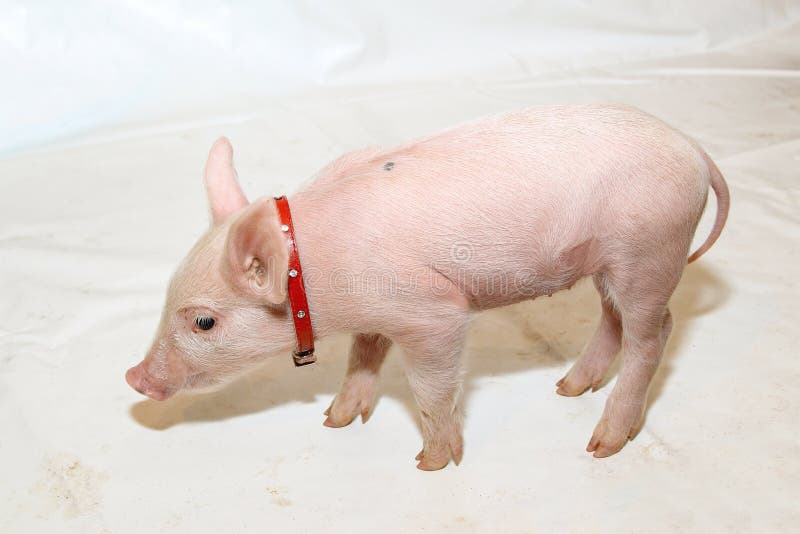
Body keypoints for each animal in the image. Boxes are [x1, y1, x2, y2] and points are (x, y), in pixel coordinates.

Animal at [126, 104, 729, 470]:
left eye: (204, 321)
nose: (134, 378)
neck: (313, 275)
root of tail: (695, 150)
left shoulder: (431, 312)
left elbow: (429, 387)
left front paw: (430, 462)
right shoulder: (376, 312)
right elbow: (363, 357)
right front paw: (335, 420)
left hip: (650, 252)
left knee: (655, 333)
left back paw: (601, 446)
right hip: (612, 263)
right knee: (613, 320)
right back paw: (566, 389)